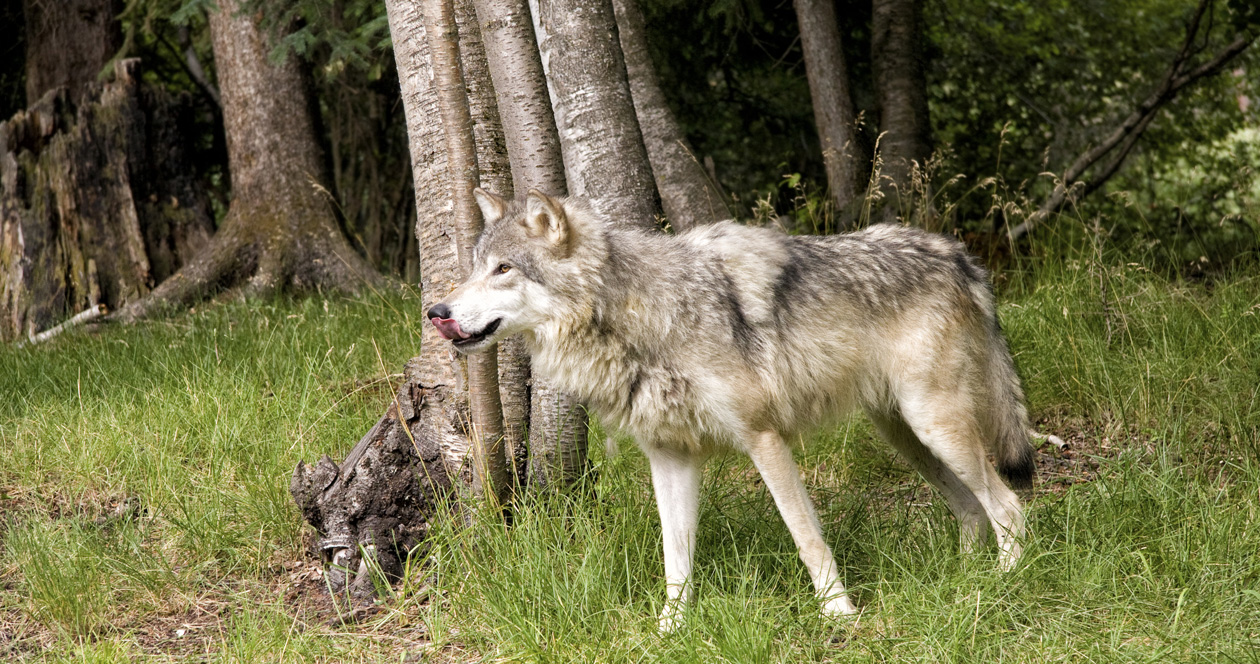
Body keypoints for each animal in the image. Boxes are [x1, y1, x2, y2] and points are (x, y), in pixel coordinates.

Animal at [427, 189, 1035, 631]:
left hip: (935, 427)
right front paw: (670, 630)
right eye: (477, 267)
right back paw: (963, 581)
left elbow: (807, 537)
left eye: (504, 269)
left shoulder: (763, 438)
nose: (437, 311)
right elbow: (675, 557)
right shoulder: (670, 457)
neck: (640, 315)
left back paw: (1004, 583)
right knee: (972, 510)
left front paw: (839, 614)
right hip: (907, 435)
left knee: (1006, 505)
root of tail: (956, 254)